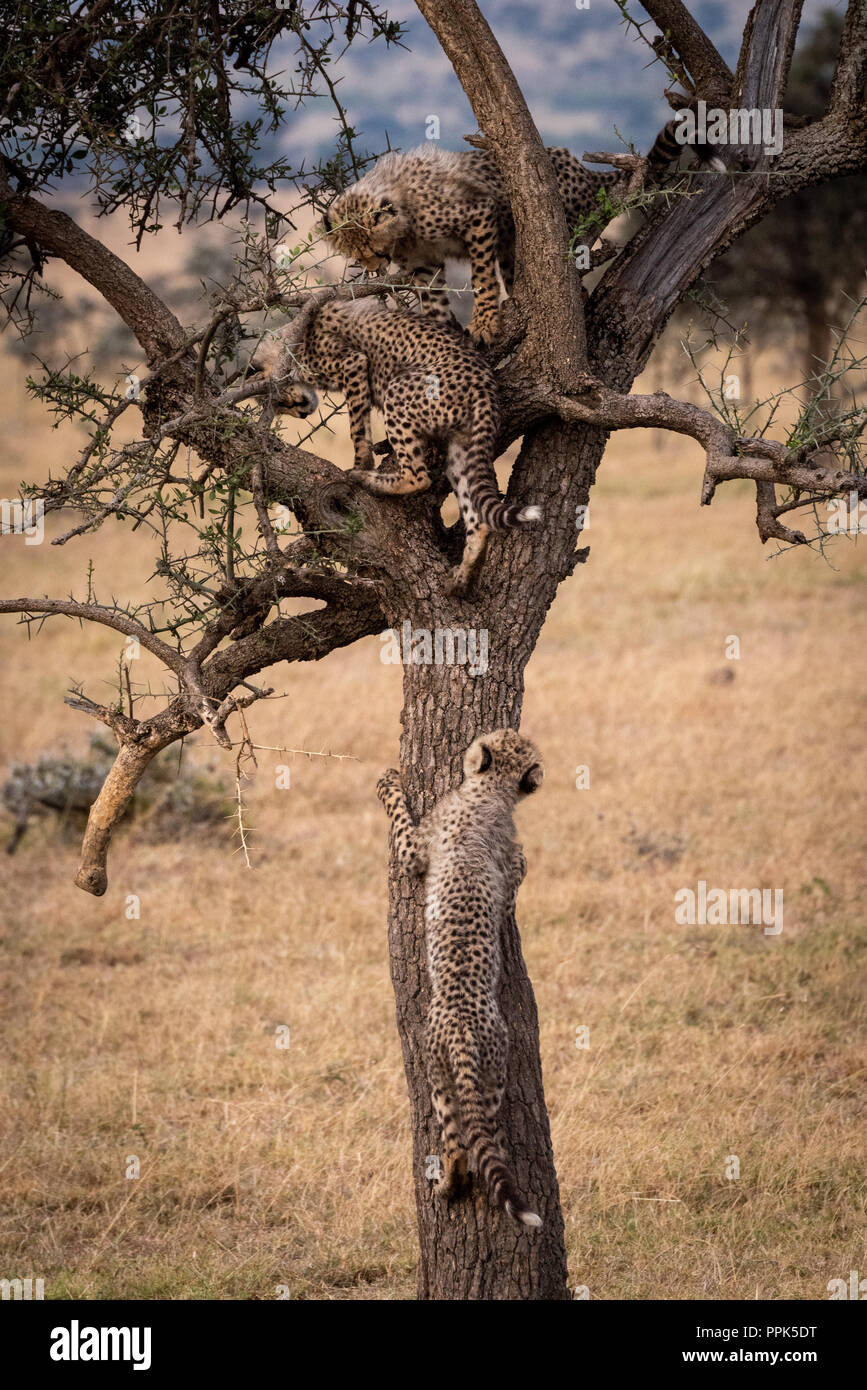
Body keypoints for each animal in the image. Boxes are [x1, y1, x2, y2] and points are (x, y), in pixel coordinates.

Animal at [250, 297, 541, 594]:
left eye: (280, 401)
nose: (302, 413)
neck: (288, 341)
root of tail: (484, 383)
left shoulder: (353, 363)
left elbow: (357, 425)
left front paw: (362, 462)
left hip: (400, 391)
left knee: (419, 476)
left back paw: (369, 479)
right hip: (462, 446)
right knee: (476, 515)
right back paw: (462, 576)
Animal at [376, 728, 545, 1228]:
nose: (473, 744)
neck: (490, 795)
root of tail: (464, 1027)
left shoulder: (417, 849)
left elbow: (400, 818)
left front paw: (387, 779)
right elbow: (515, 876)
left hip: (445, 1072)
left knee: (459, 1144)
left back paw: (449, 1184)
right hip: (478, 1075)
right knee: (476, 1139)